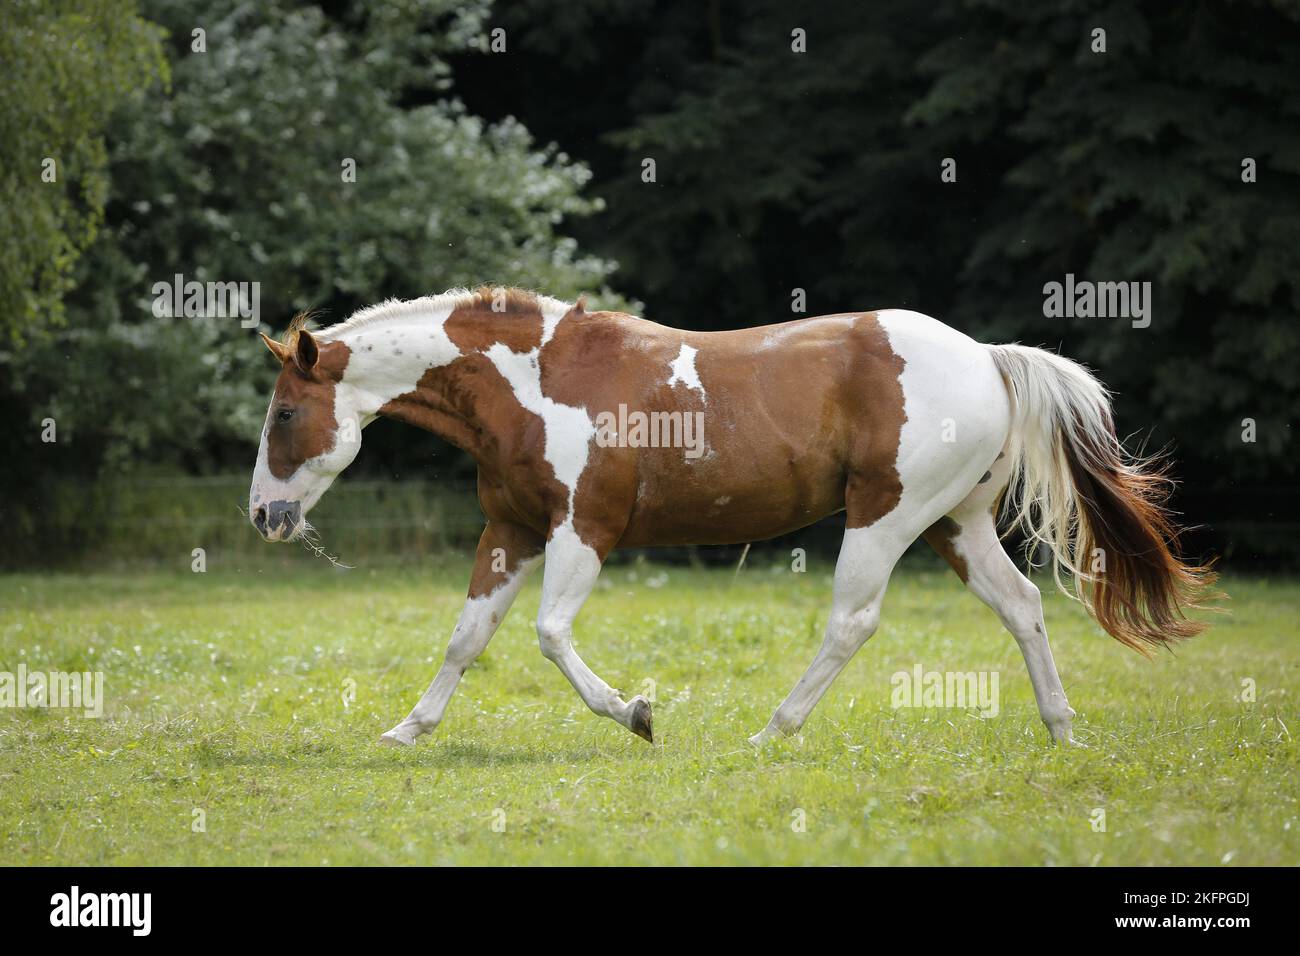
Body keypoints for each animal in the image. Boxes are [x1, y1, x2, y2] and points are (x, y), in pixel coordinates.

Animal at [248, 287, 1215, 747]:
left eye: (286, 414)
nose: (263, 516)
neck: (535, 381)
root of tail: (986, 356)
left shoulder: (583, 532)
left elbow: (552, 636)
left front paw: (636, 713)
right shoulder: (512, 533)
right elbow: (466, 639)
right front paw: (407, 730)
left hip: (887, 518)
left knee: (852, 622)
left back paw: (772, 730)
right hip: (957, 525)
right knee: (1023, 607)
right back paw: (1062, 729)